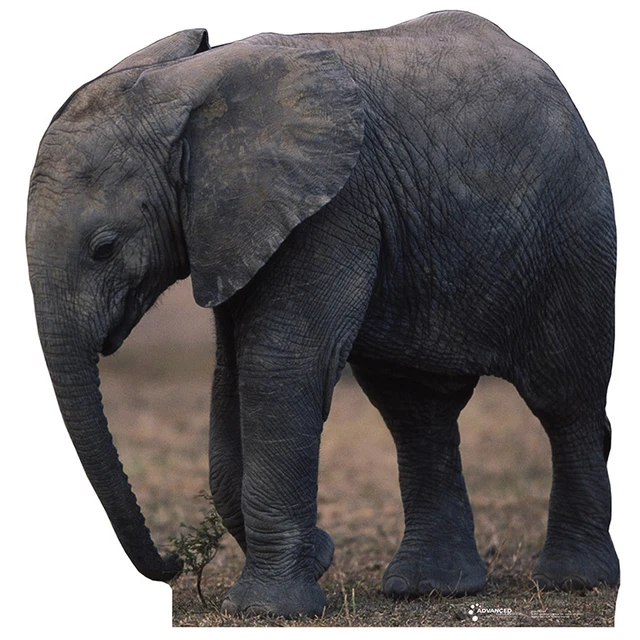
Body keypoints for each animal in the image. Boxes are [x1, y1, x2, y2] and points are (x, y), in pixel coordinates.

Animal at [26, 10, 619, 617]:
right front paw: (313, 560)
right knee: (417, 410)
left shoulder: (333, 205)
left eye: (104, 248)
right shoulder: (238, 225)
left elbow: (279, 363)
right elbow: (232, 374)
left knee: (563, 397)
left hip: (574, 233)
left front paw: (270, 609)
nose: (170, 562)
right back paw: (430, 589)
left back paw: (574, 580)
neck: (187, 93)